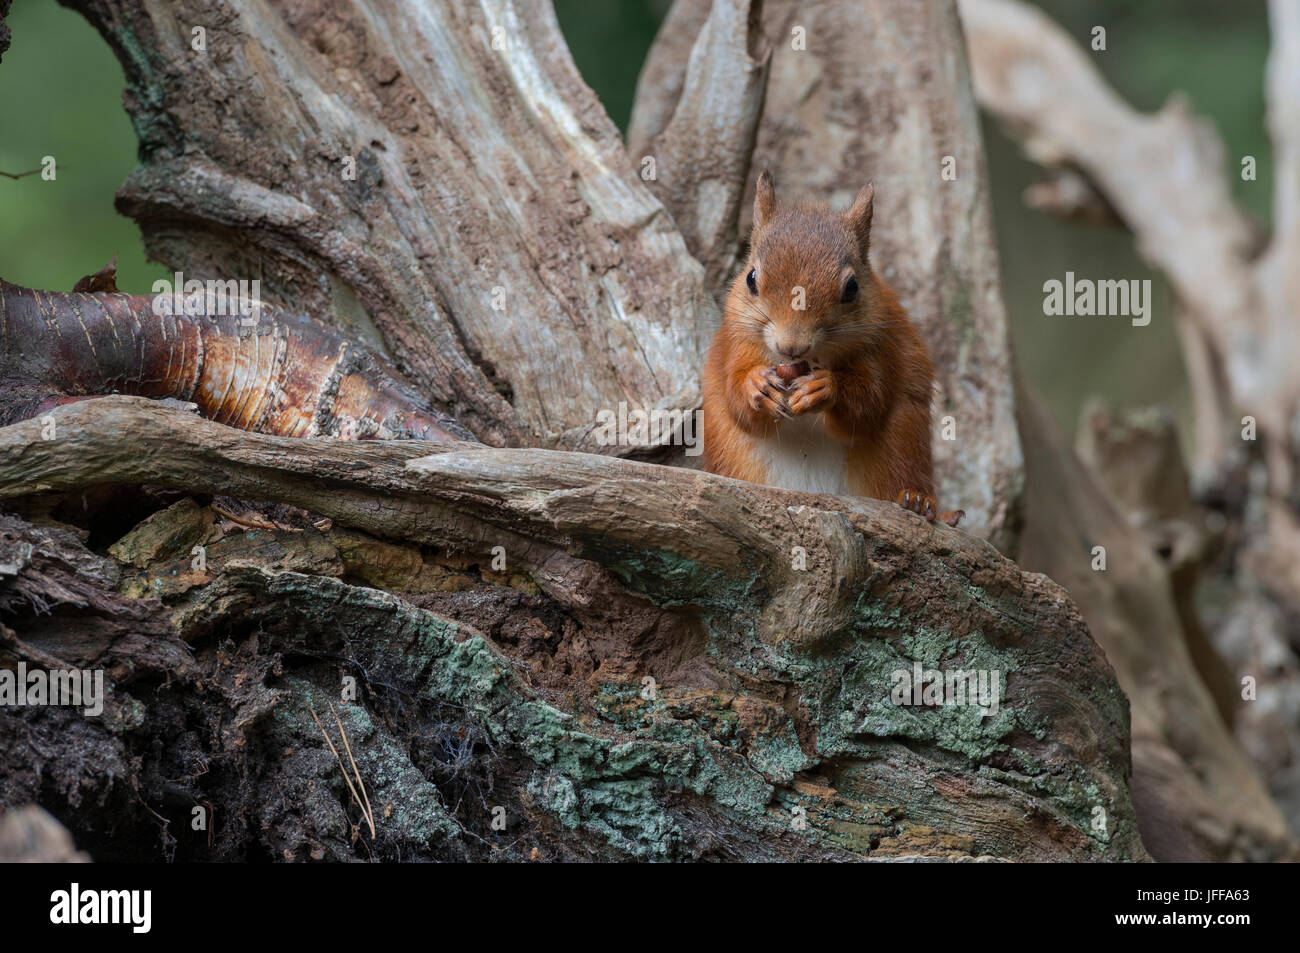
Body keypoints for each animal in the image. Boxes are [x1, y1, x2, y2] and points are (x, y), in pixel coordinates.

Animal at [701, 171, 963, 527]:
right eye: (751, 279)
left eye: (852, 288)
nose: (791, 347)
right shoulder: (736, 346)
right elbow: (738, 404)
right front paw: (757, 386)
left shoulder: (879, 348)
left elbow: (869, 403)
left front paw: (827, 388)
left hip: (902, 440)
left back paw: (919, 503)